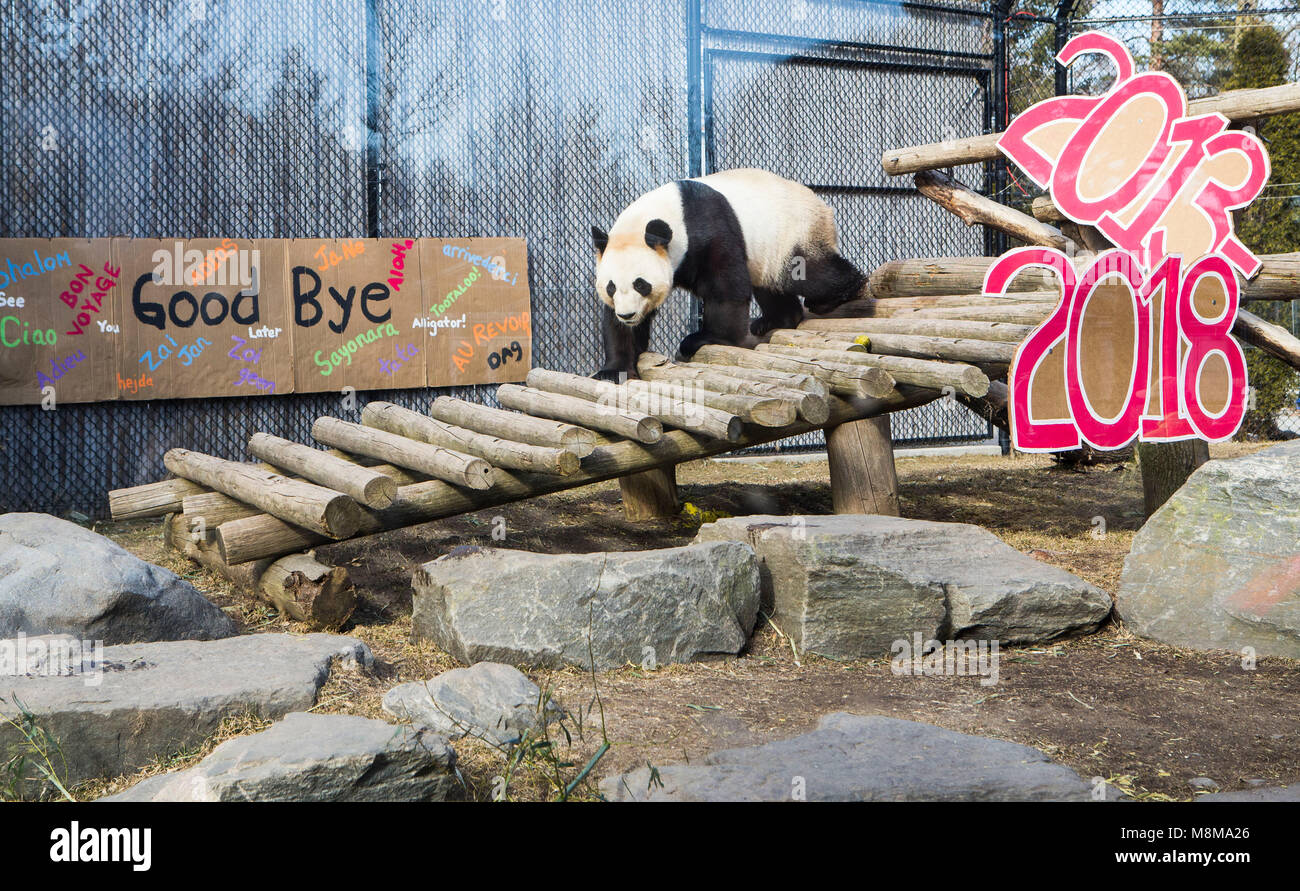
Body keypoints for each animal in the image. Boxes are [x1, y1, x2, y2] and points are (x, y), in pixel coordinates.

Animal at [590, 168, 867, 381]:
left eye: (641, 284)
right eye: (611, 287)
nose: (628, 315)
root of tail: (824, 207)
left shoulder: (710, 228)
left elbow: (725, 286)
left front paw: (704, 339)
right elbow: (617, 325)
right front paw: (614, 370)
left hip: (792, 233)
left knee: (808, 272)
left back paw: (839, 294)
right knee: (771, 285)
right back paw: (775, 320)